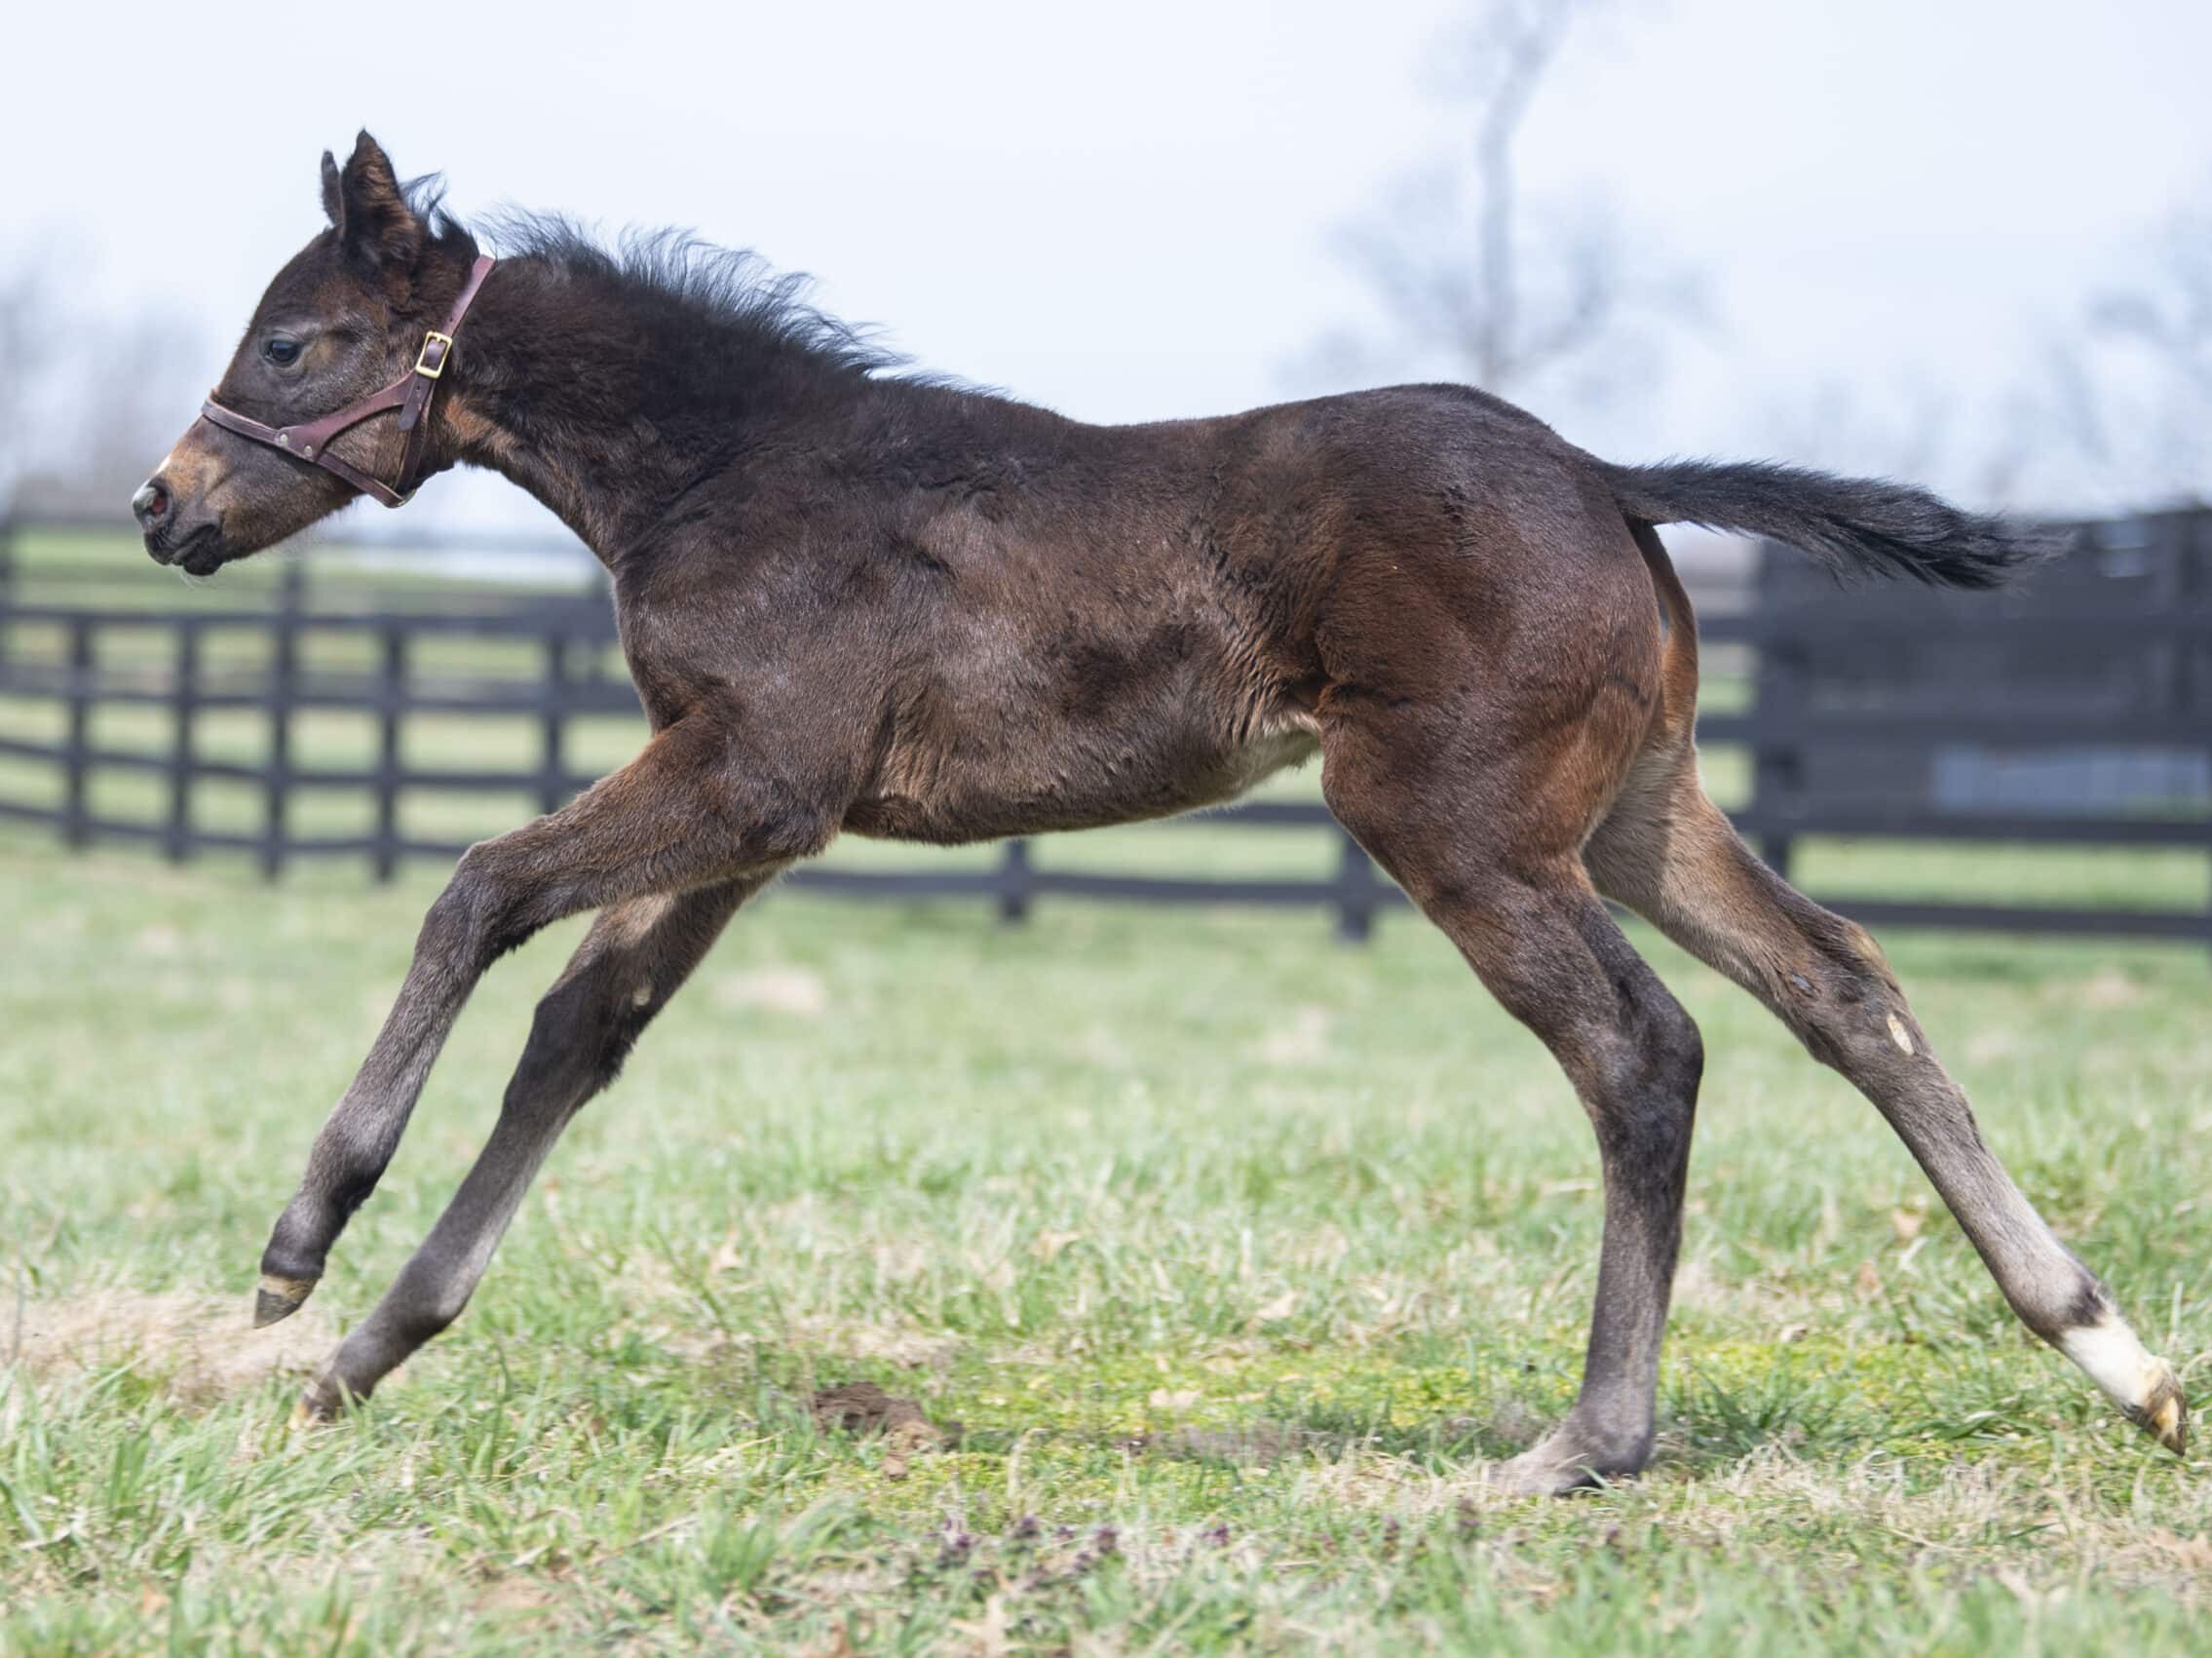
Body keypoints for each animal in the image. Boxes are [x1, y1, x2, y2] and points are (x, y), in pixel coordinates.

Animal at [132, 132, 2184, 1494]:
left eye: (295, 345)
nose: (162, 507)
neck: (732, 470)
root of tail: (1610, 476)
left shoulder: (751, 772)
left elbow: (476, 892)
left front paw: (301, 1245)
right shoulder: (752, 813)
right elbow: (580, 1032)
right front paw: (365, 1354)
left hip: (1456, 825)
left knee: (1644, 1046)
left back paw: (1586, 1442)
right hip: (1634, 814)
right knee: (1844, 985)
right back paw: (2118, 1354)